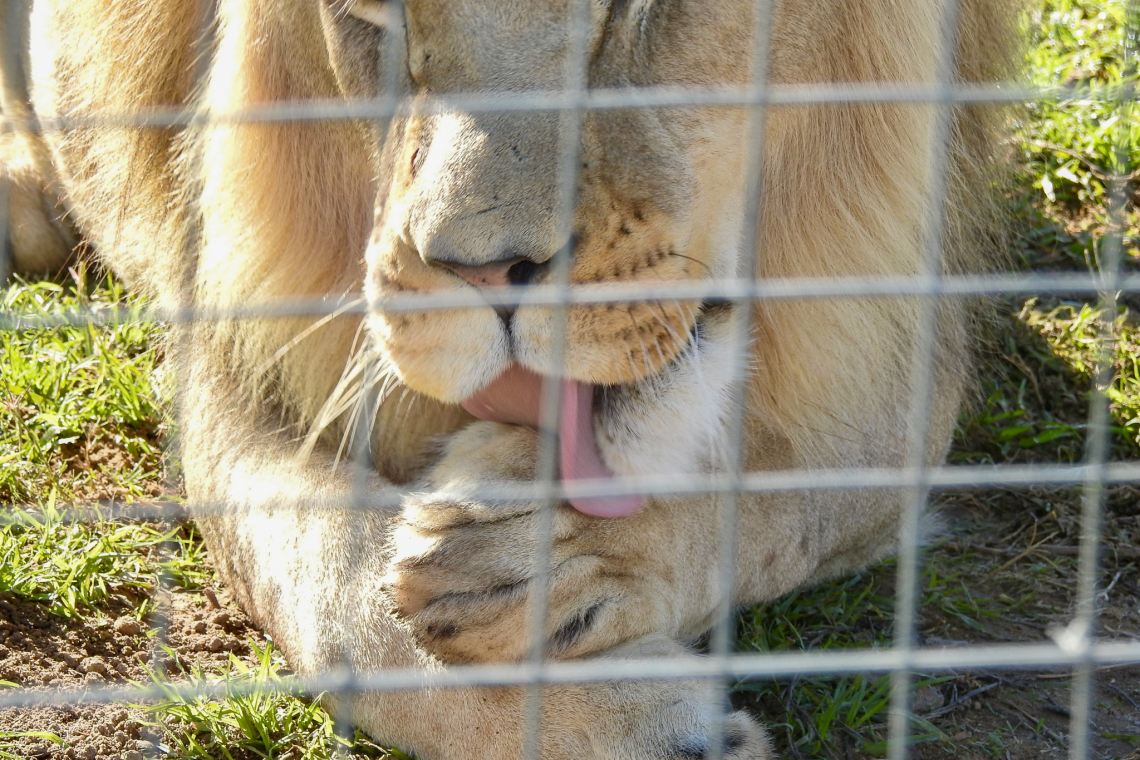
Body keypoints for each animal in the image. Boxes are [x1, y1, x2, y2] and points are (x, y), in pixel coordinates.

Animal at [3, 0, 1016, 757]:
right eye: (373, 8)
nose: (483, 270)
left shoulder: (901, 377)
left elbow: (782, 506)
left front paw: (558, 562)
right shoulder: (223, 374)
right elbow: (330, 580)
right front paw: (621, 724)